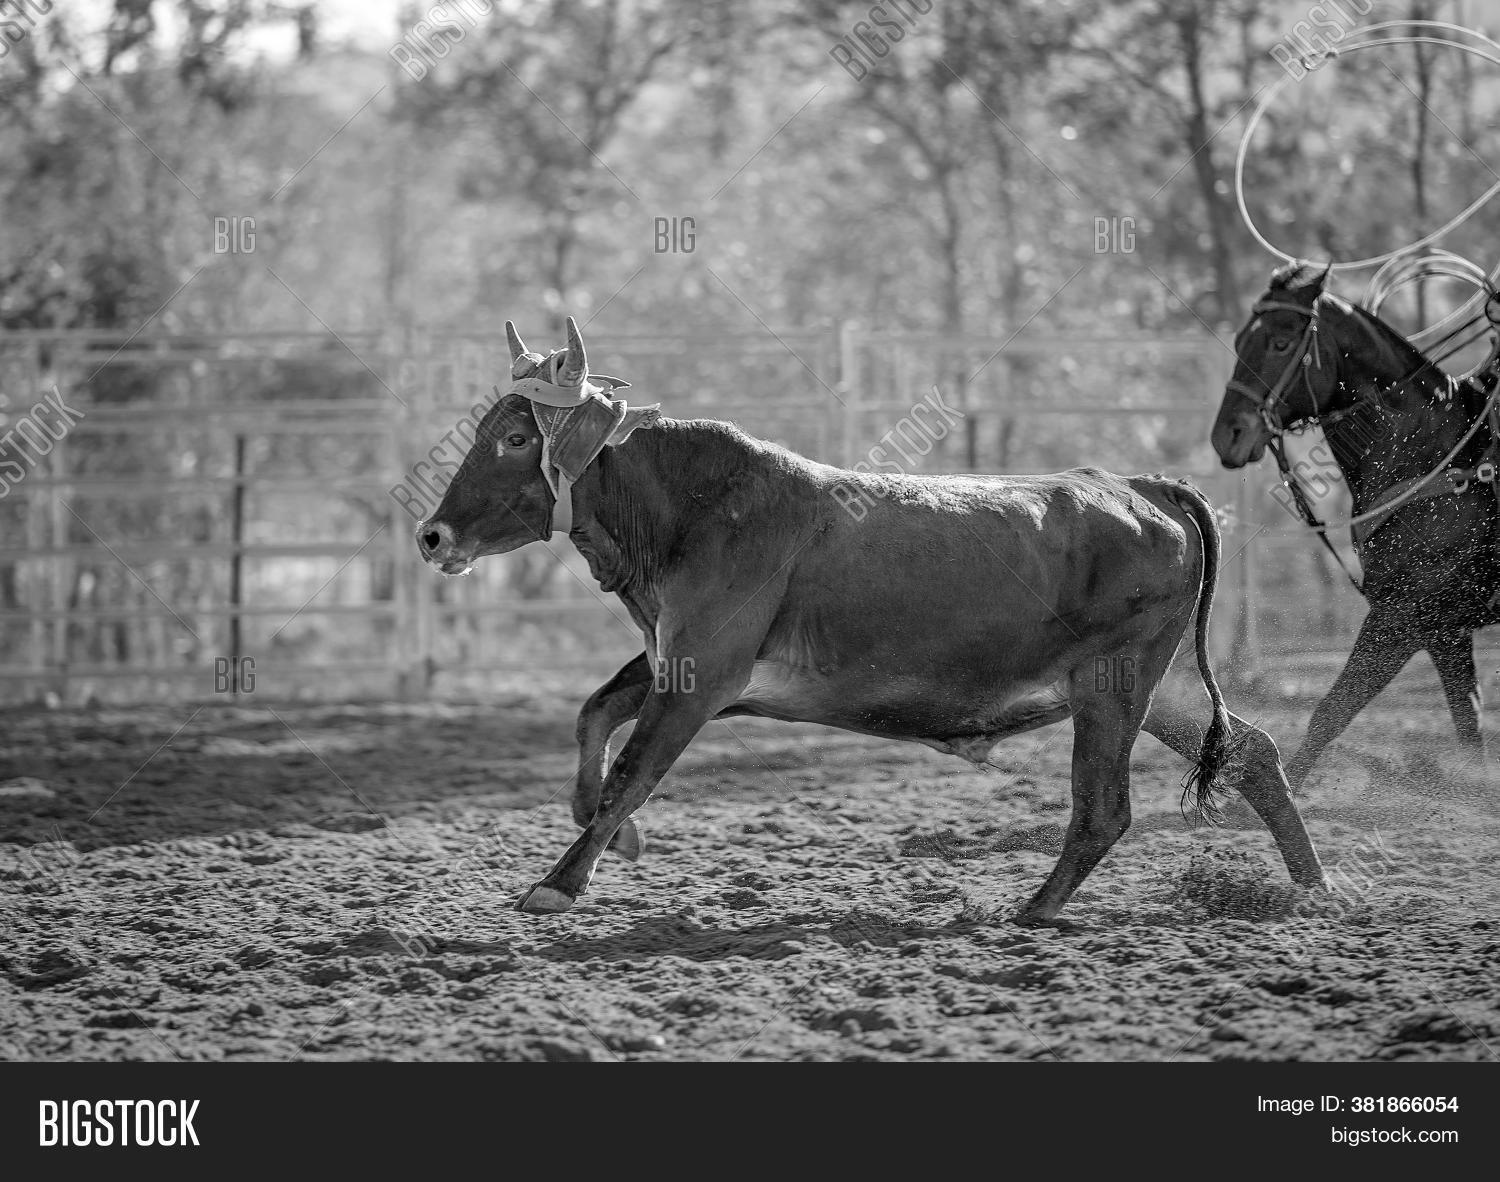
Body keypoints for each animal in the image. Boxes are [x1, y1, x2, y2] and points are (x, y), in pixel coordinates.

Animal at [416, 318, 1326, 924]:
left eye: (512, 437)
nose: (433, 536)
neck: (695, 510)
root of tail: (1142, 486)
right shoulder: (675, 658)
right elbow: (594, 713)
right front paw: (611, 838)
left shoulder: (701, 677)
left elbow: (630, 772)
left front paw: (558, 882)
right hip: (1159, 685)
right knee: (1253, 752)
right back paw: (1316, 887)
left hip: (1115, 681)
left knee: (1104, 806)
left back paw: (1032, 909)